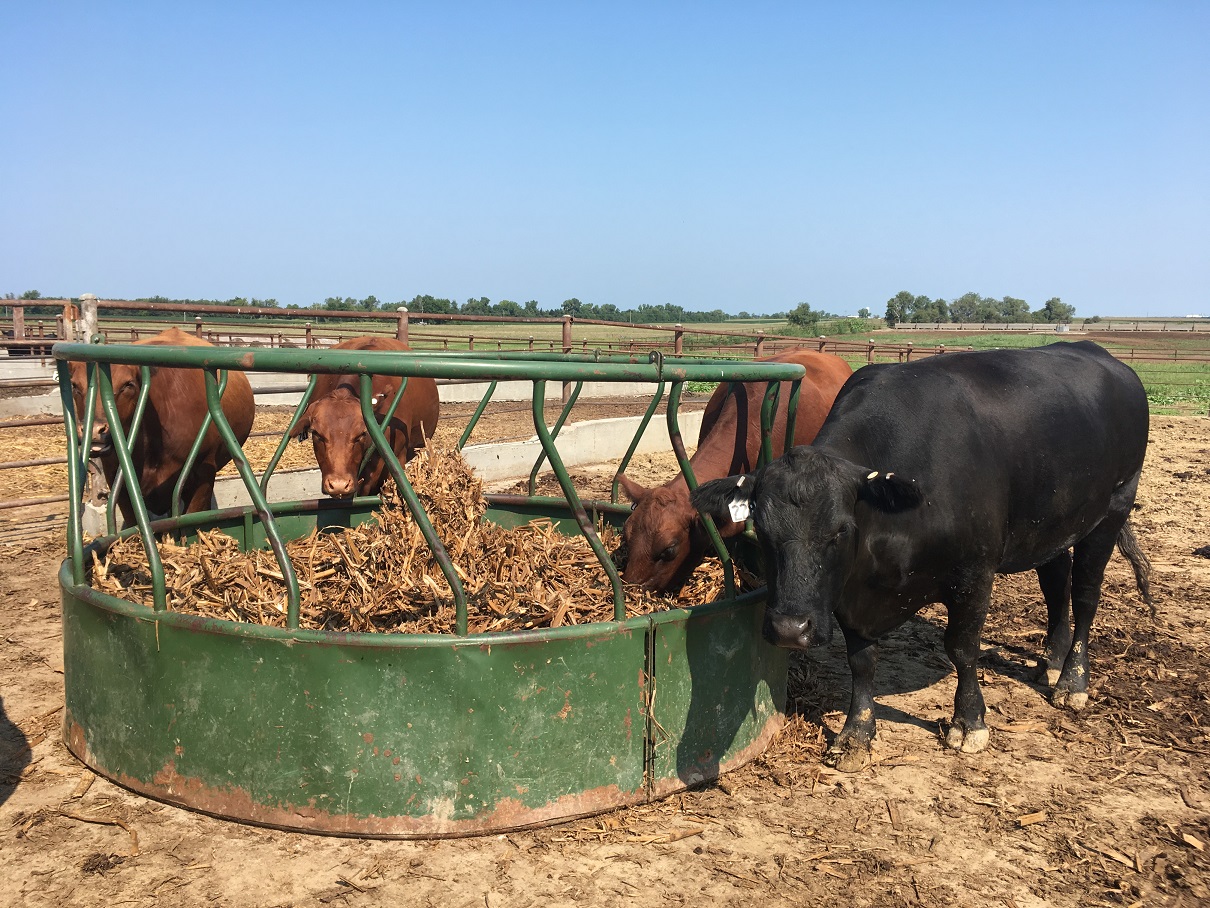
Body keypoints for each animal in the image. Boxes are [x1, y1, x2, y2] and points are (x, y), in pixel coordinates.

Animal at [691, 341, 1152, 770]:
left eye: (841, 530)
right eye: (763, 530)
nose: (790, 629)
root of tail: (1105, 357)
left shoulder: (974, 574)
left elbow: (962, 648)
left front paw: (969, 722)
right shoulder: (850, 594)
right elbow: (861, 660)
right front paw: (857, 733)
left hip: (1113, 507)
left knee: (1086, 595)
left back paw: (1072, 682)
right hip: (1054, 522)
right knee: (1057, 585)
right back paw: (1051, 662)